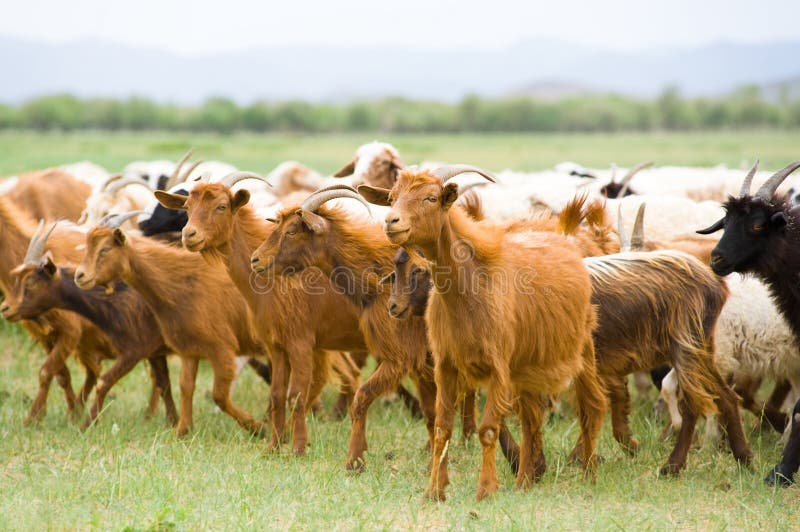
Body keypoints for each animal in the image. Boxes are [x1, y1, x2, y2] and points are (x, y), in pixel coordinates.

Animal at [1, 222, 178, 427]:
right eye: (16, 279)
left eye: (31, 282)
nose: (5, 308)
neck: (118, 299)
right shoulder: (153, 351)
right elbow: (164, 383)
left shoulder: (133, 349)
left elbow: (101, 381)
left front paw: (37, 418)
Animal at [154, 174, 364, 455]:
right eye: (187, 207)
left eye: (221, 206)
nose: (189, 235)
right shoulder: (276, 345)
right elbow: (277, 395)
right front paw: (275, 445)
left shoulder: (300, 342)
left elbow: (295, 394)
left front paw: (293, 445)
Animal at [359, 165, 607, 501]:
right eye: (392, 198)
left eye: (431, 198)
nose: (391, 221)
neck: (470, 292)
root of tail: (564, 236)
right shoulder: (446, 365)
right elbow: (442, 427)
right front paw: (434, 490)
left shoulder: (498, 367)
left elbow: (488, 429)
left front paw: (485, 489)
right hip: (526, 367)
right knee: (531, 419)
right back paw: (524, 481)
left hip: (581, 351)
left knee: (591, 407)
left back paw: (589, 476)